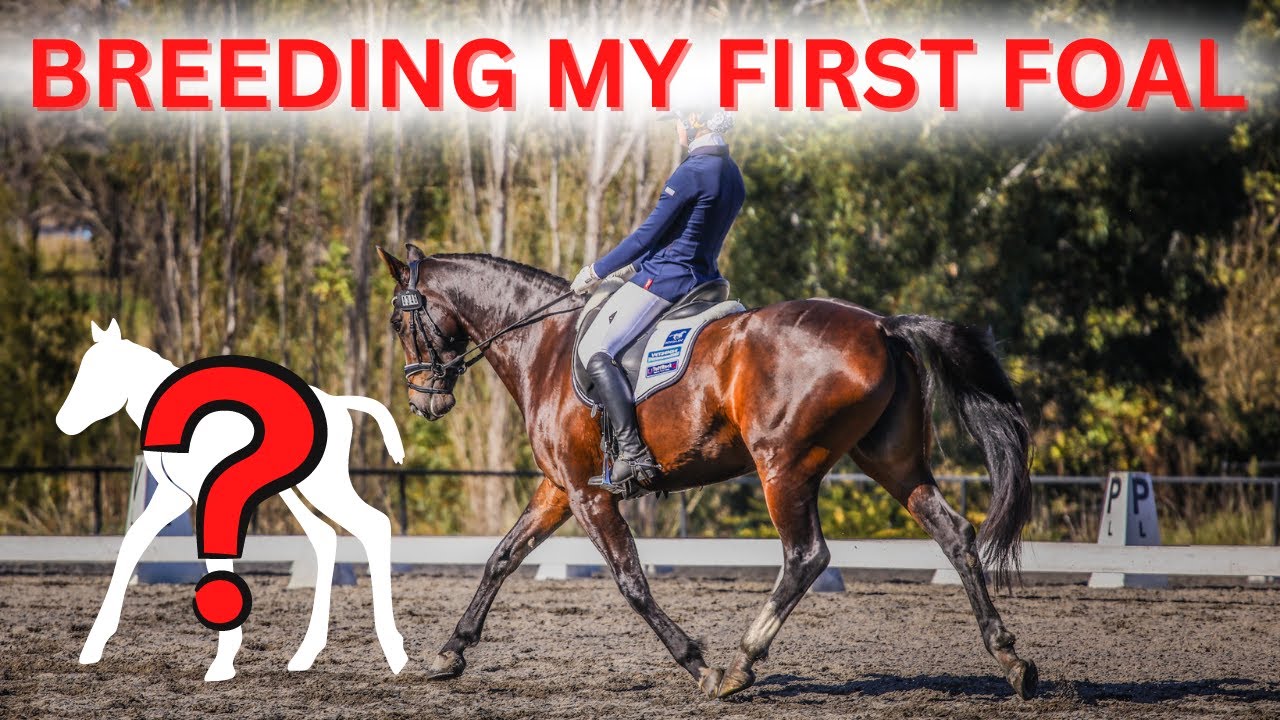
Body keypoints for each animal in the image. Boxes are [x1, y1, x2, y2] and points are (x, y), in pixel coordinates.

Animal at [55, 319, 409, 681]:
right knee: (324, 537)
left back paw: (394, 652)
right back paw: (306, 655)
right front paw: (93, 646)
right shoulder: (172, 497)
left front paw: (223, 663)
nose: (63, 422)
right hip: (295, 490)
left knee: (373, 525)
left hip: (322, 486)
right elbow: (131, 544)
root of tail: (338, 403)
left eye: (100, 372)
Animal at [376, 245, 1038, 700]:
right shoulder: (559, 489)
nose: (425, 401)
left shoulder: (590, 496)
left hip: (782, 467)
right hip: (890, 460)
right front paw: (450, 653)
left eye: (400, 323)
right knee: (954, 532)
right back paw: (1010, 659)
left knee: (806, 556)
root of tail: (880, 324)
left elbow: (630, 581)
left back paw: (741, 664)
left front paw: (697, 661)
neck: (545, 344)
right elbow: (502, 557)